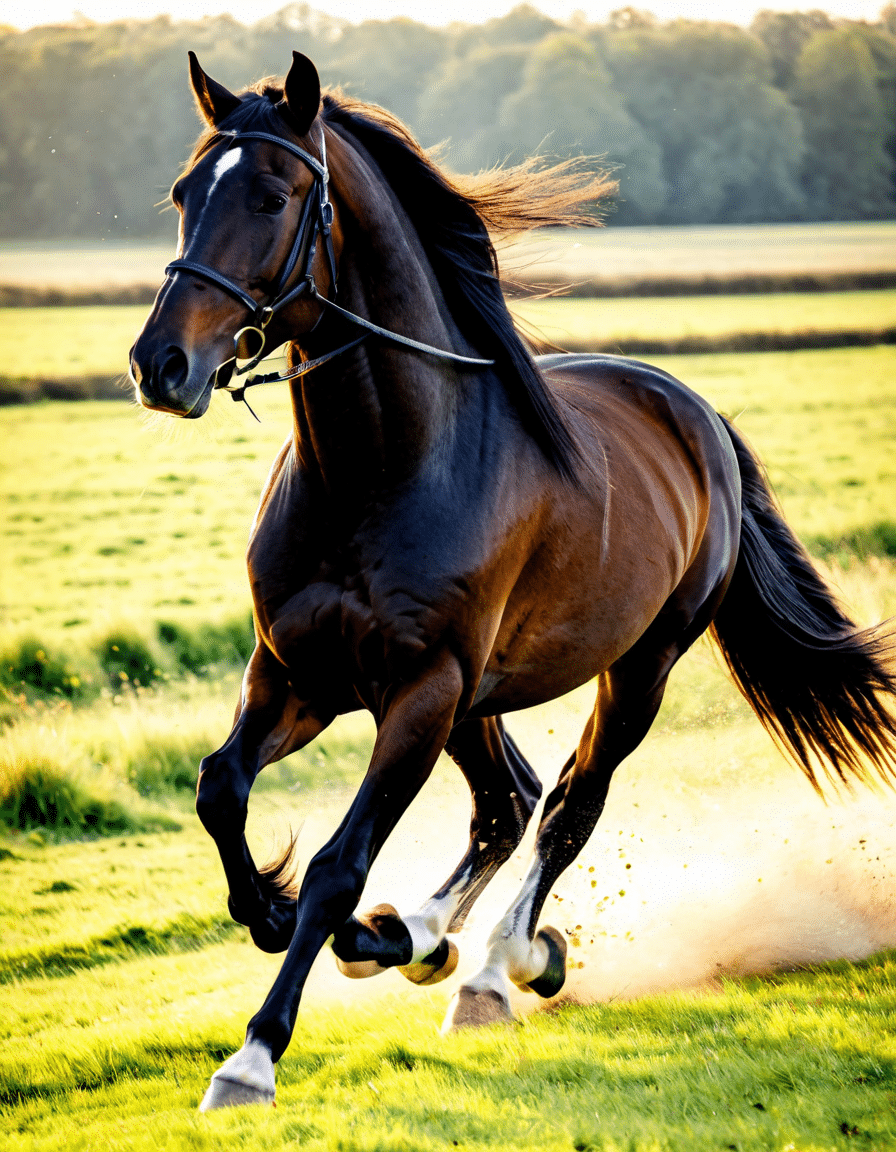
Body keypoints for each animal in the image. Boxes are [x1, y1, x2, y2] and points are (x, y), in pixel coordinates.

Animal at [130, 51, 896, 1111]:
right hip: (477, 697)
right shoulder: (294, 675)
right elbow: (220, 793)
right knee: (508, 798)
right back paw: (421, 941)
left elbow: (337, 866)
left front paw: (251, 1058)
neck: (379, 471)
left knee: (568, 801)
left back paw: (497, 969)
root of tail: (698, 415)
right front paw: (319, 924)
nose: (160, 365)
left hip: (632, 669)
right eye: (181, 193)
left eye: (274, 195)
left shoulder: (420, 690)